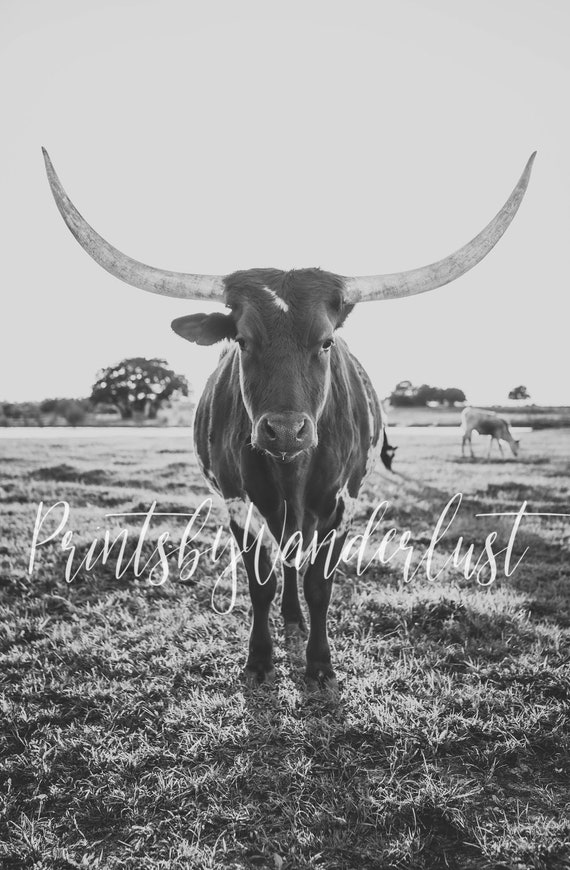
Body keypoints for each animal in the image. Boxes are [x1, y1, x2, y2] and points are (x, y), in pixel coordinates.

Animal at [42, 148, 535, 689]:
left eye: (325, 341)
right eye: (242, 340)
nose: (284, 430)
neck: (290, 467)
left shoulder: (342, 503)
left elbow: (321, 583)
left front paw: (319, 663)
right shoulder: (237, 499)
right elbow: (261, 580)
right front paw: (260, 658)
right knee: (285, 556)